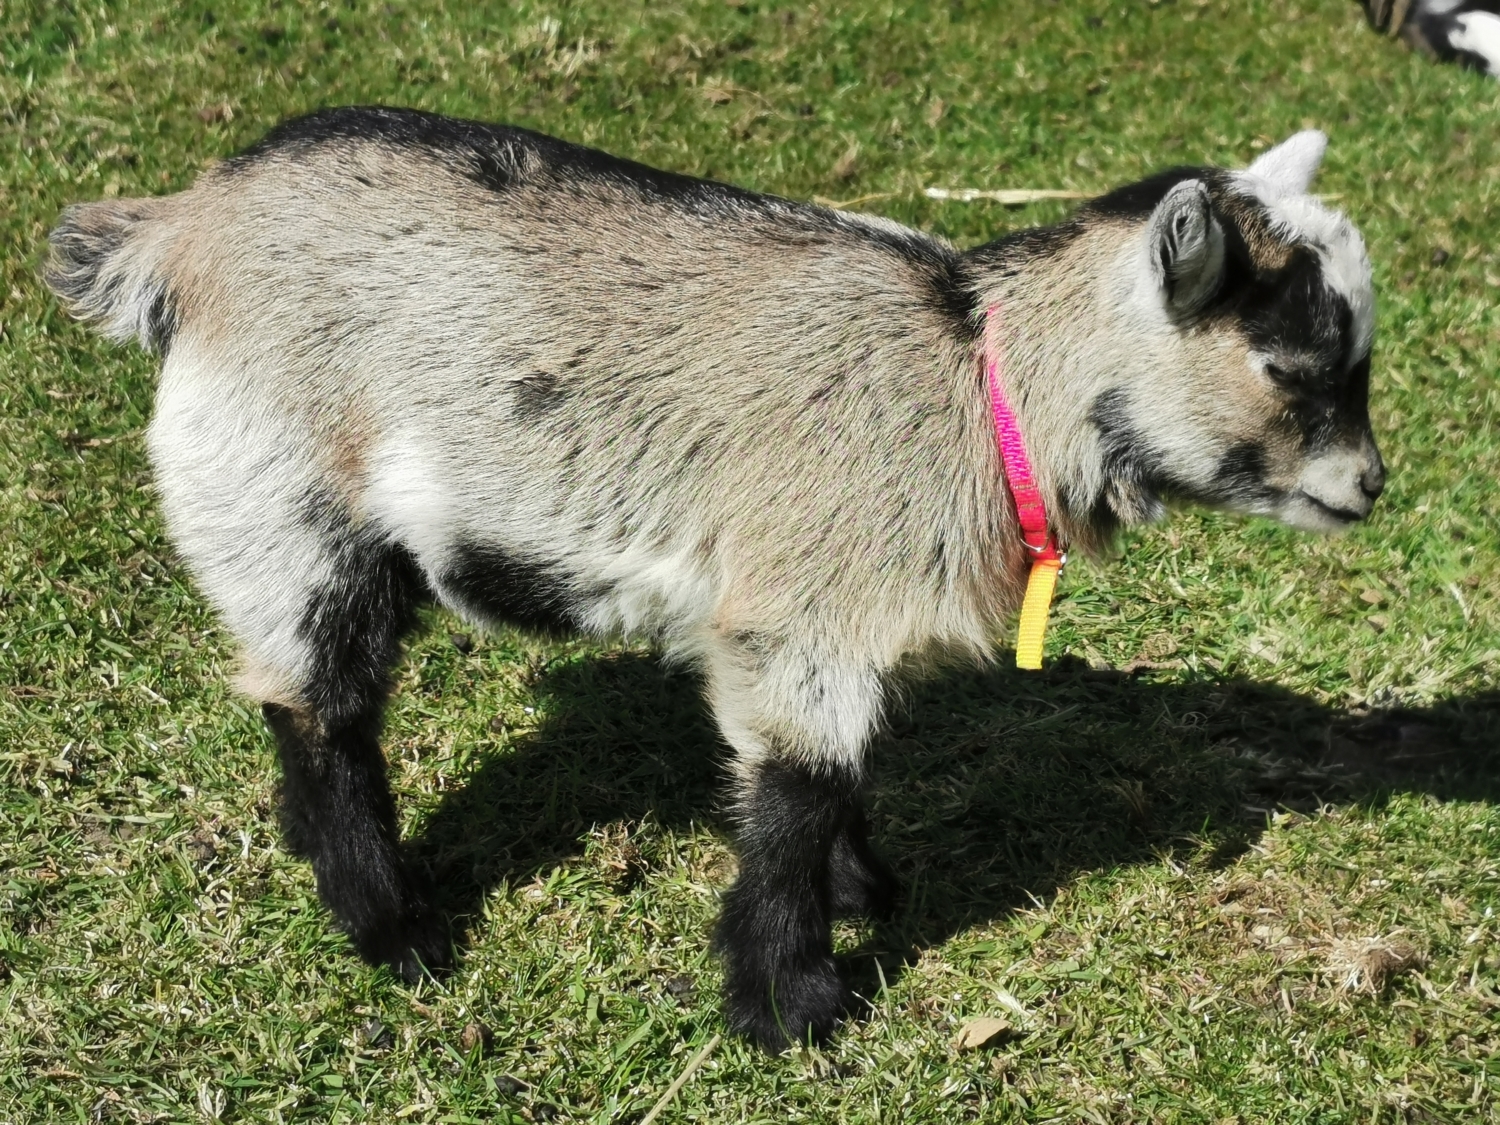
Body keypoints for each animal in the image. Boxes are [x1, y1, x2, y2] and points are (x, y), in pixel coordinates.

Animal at [44, 109, 1383, 1050]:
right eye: (1287, 363)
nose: (1371, 486)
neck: (978, 385)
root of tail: (181, 231)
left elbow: (841, 775)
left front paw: (865, 892)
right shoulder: (797, 617)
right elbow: (801, 787)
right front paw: (791, 1005)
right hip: (277, 488)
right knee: (322, 698)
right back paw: (395, 927)